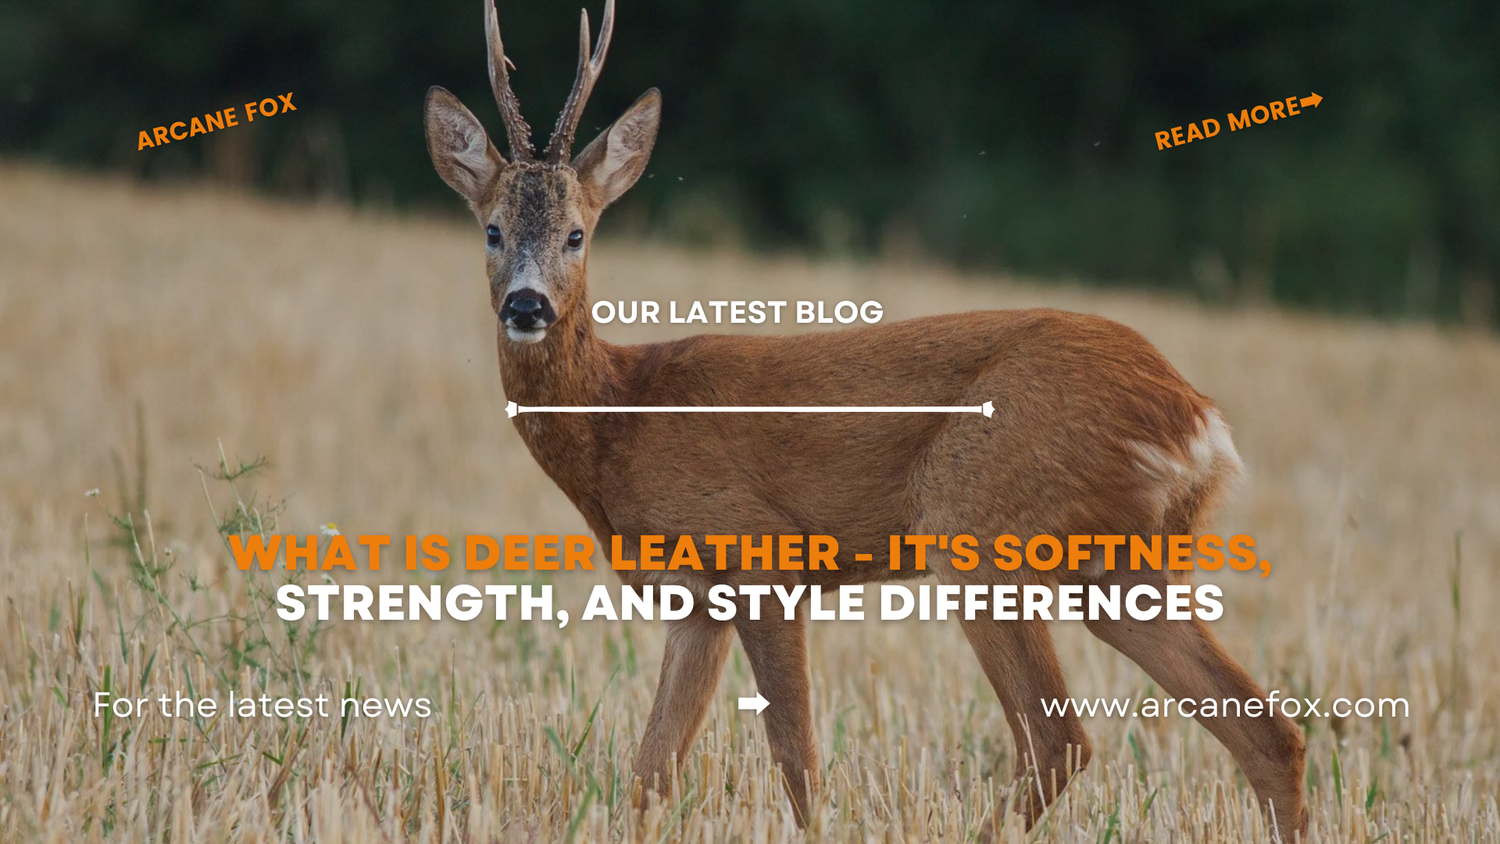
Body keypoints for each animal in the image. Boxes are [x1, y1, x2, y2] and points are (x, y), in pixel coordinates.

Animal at [422, 0, 1308, 837]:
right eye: (492, 230)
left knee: (1060, 742)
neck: (621, 415)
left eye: (577, 234)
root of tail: (1196, 417)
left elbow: (798, 764)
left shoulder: (762, 555)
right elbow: (649, 775)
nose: (527, 306)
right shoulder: (695, 601)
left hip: (981, 524)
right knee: (1268, 730)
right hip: (1123, 564)